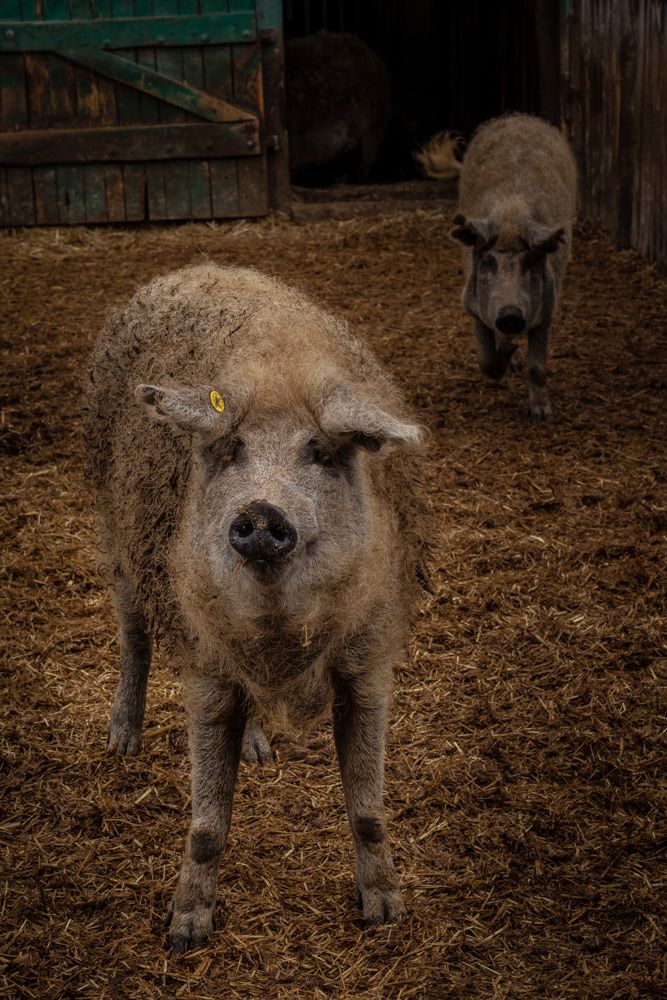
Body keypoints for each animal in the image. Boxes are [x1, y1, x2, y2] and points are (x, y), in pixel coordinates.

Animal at [83, 264, 425, 953]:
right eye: (233, 448)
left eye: (319, 452)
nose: (262, 512)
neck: (279, 632)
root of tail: (190, 268)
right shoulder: (208, 669)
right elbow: (207, 824)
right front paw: (184, 935)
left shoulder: (368, 663)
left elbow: (369, 810)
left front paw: (386, 915)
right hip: (114, 536)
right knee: (133, 635)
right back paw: (122, 743)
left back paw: (259, 753)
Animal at [418, 113, 577, 420]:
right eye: (489, 261)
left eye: (529, 261)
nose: (511, 314)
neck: (509, 219)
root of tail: (518, 117)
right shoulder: (472, 304)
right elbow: (485, 360)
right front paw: (506, 360)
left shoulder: (547, 309)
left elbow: (538, 367)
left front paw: (542, 416)